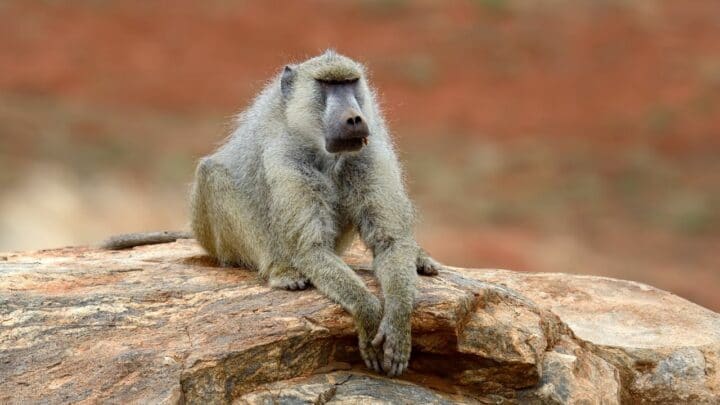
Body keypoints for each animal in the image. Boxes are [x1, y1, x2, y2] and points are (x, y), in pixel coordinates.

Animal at [102, 51, 443, 377]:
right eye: (326, 85)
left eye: (350, 83)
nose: (354, 118)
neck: (323, 150)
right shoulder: (287, 157)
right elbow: (310, 248)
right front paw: (369, 315)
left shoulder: (367, 154)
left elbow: (390, 242)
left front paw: (398, 324)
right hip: (215, 237)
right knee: (214, 174)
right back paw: (280, 270)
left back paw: (419, 257)